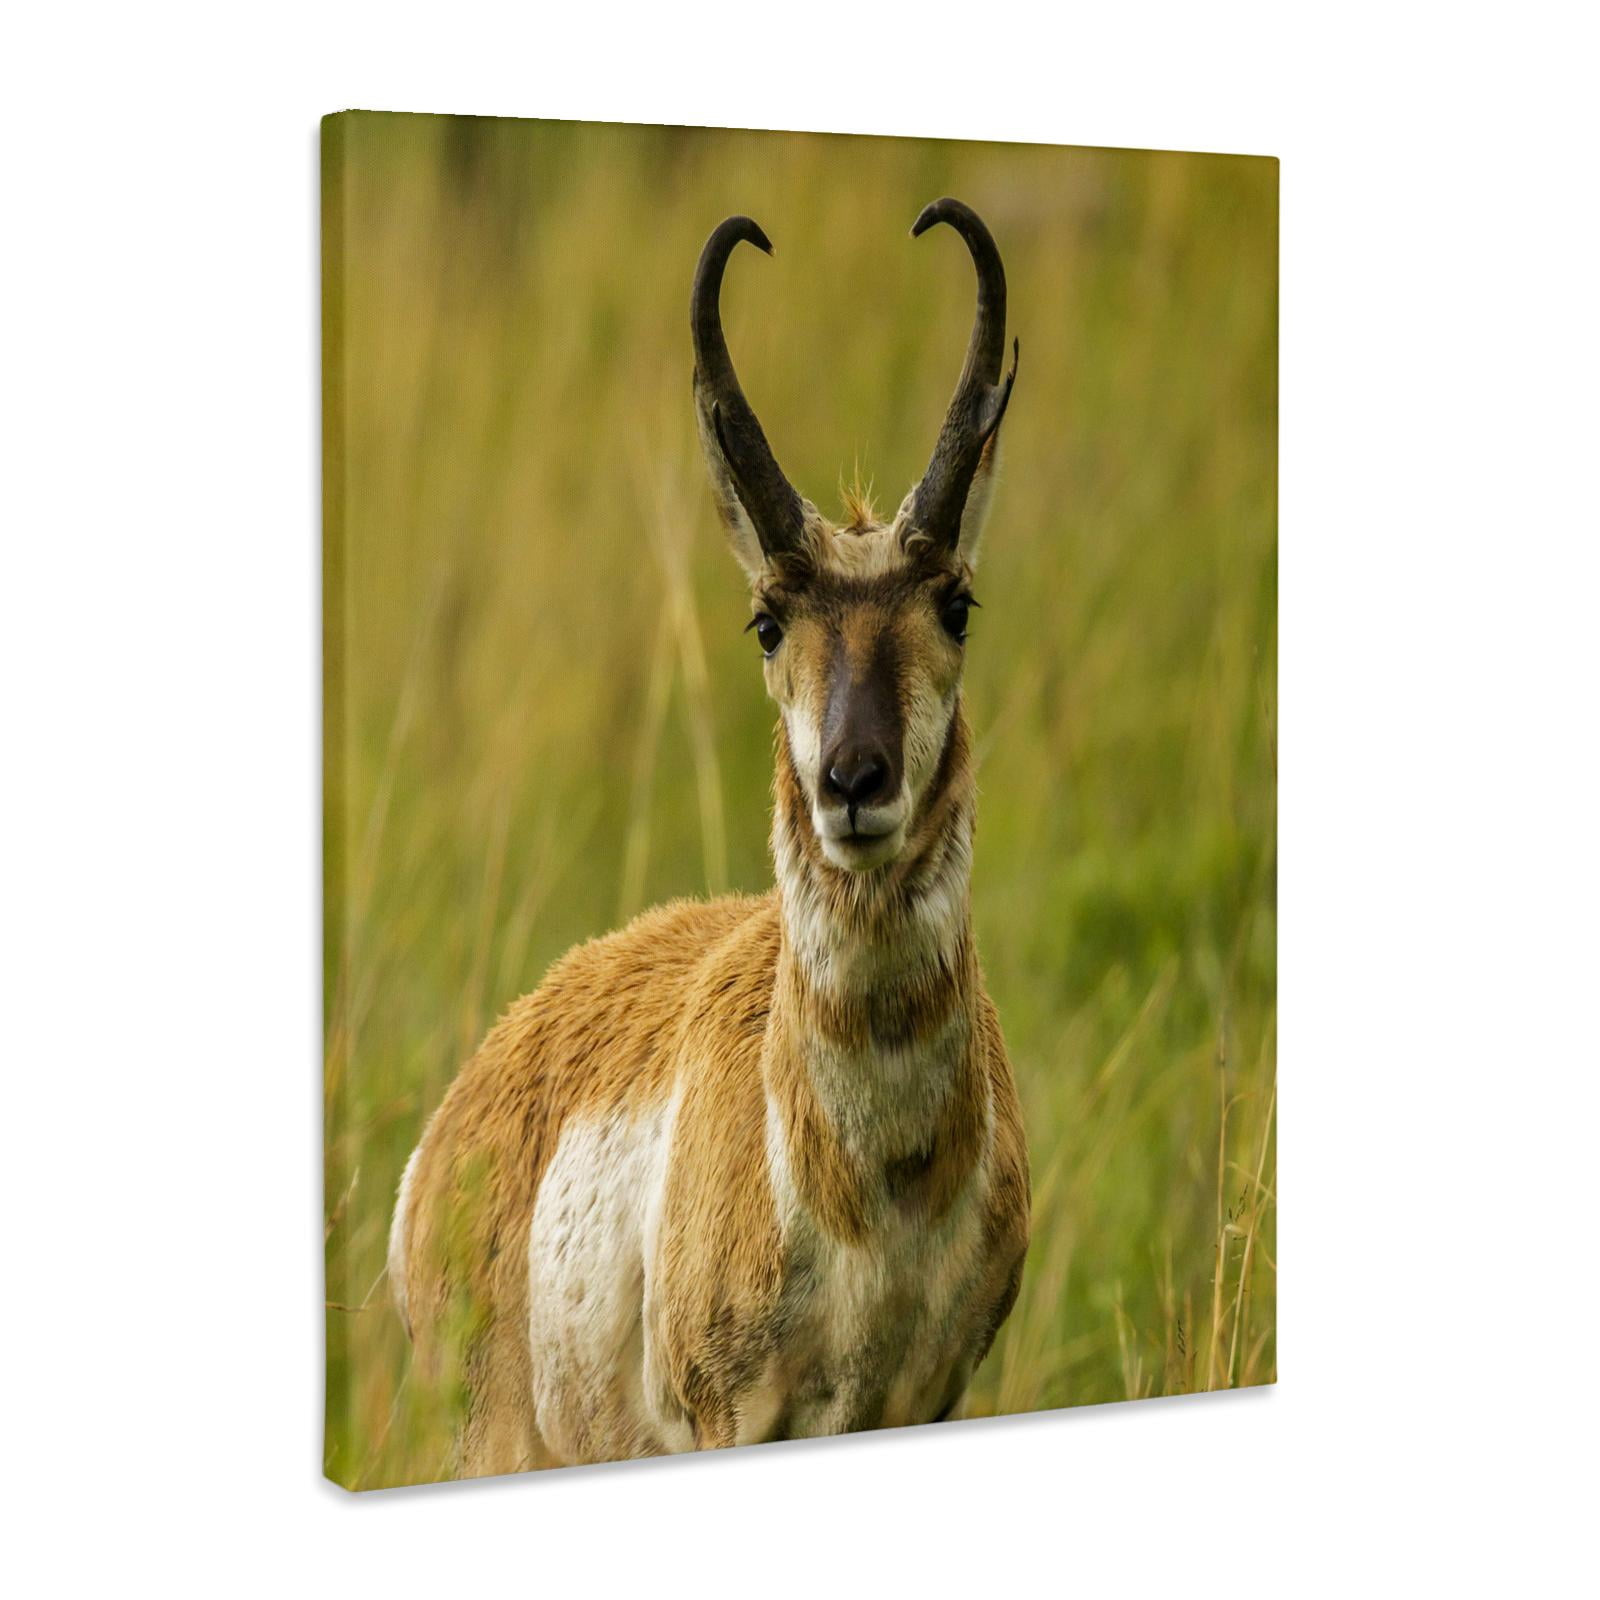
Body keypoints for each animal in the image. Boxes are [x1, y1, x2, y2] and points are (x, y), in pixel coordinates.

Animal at [389, 198, 1030, 1477]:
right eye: (767, 620)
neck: (871, 1190)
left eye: (955, 602)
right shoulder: (737, 1415)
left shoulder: (930, 1396)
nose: (852, 781)